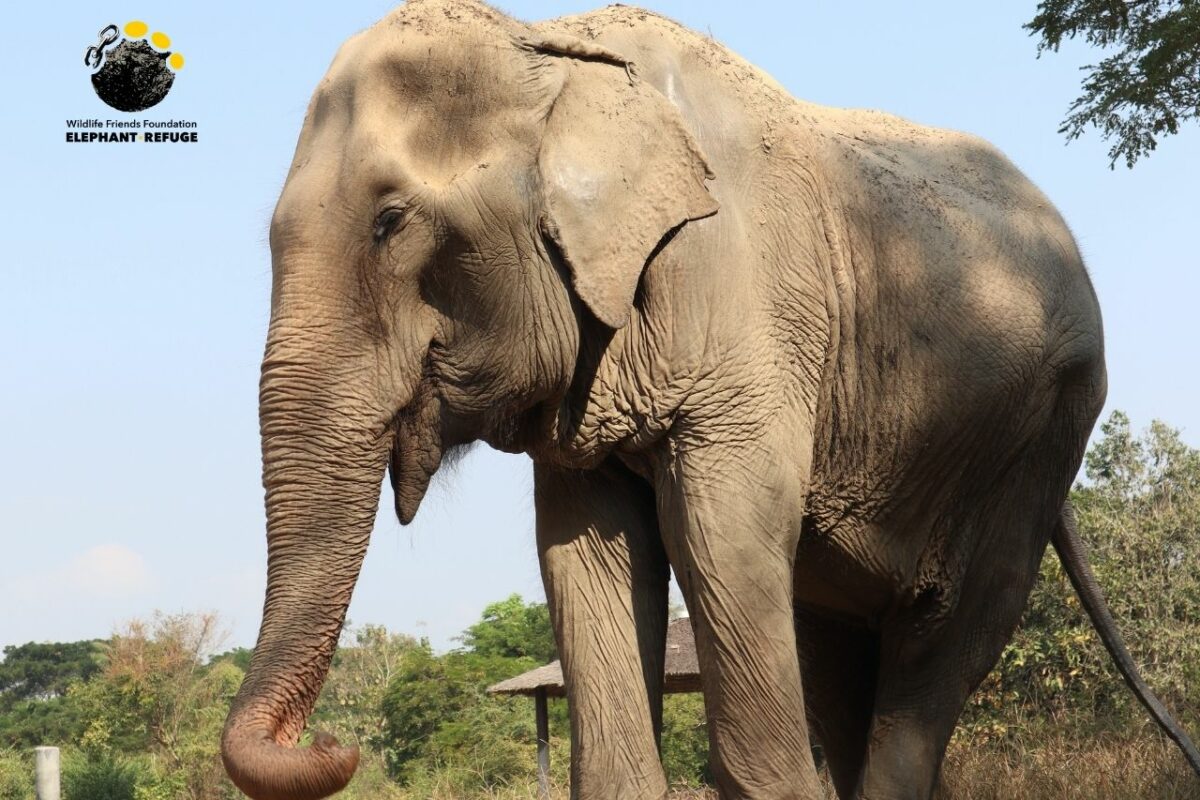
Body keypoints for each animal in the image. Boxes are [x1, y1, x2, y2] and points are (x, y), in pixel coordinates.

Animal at [219, 2, 1200, 799]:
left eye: (391, 222)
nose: (335, 742)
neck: (554, 53)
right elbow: (584, 552)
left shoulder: (749, 311)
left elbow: (720, 531)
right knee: (839, 647)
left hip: (1037, 439)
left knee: (941, 635)